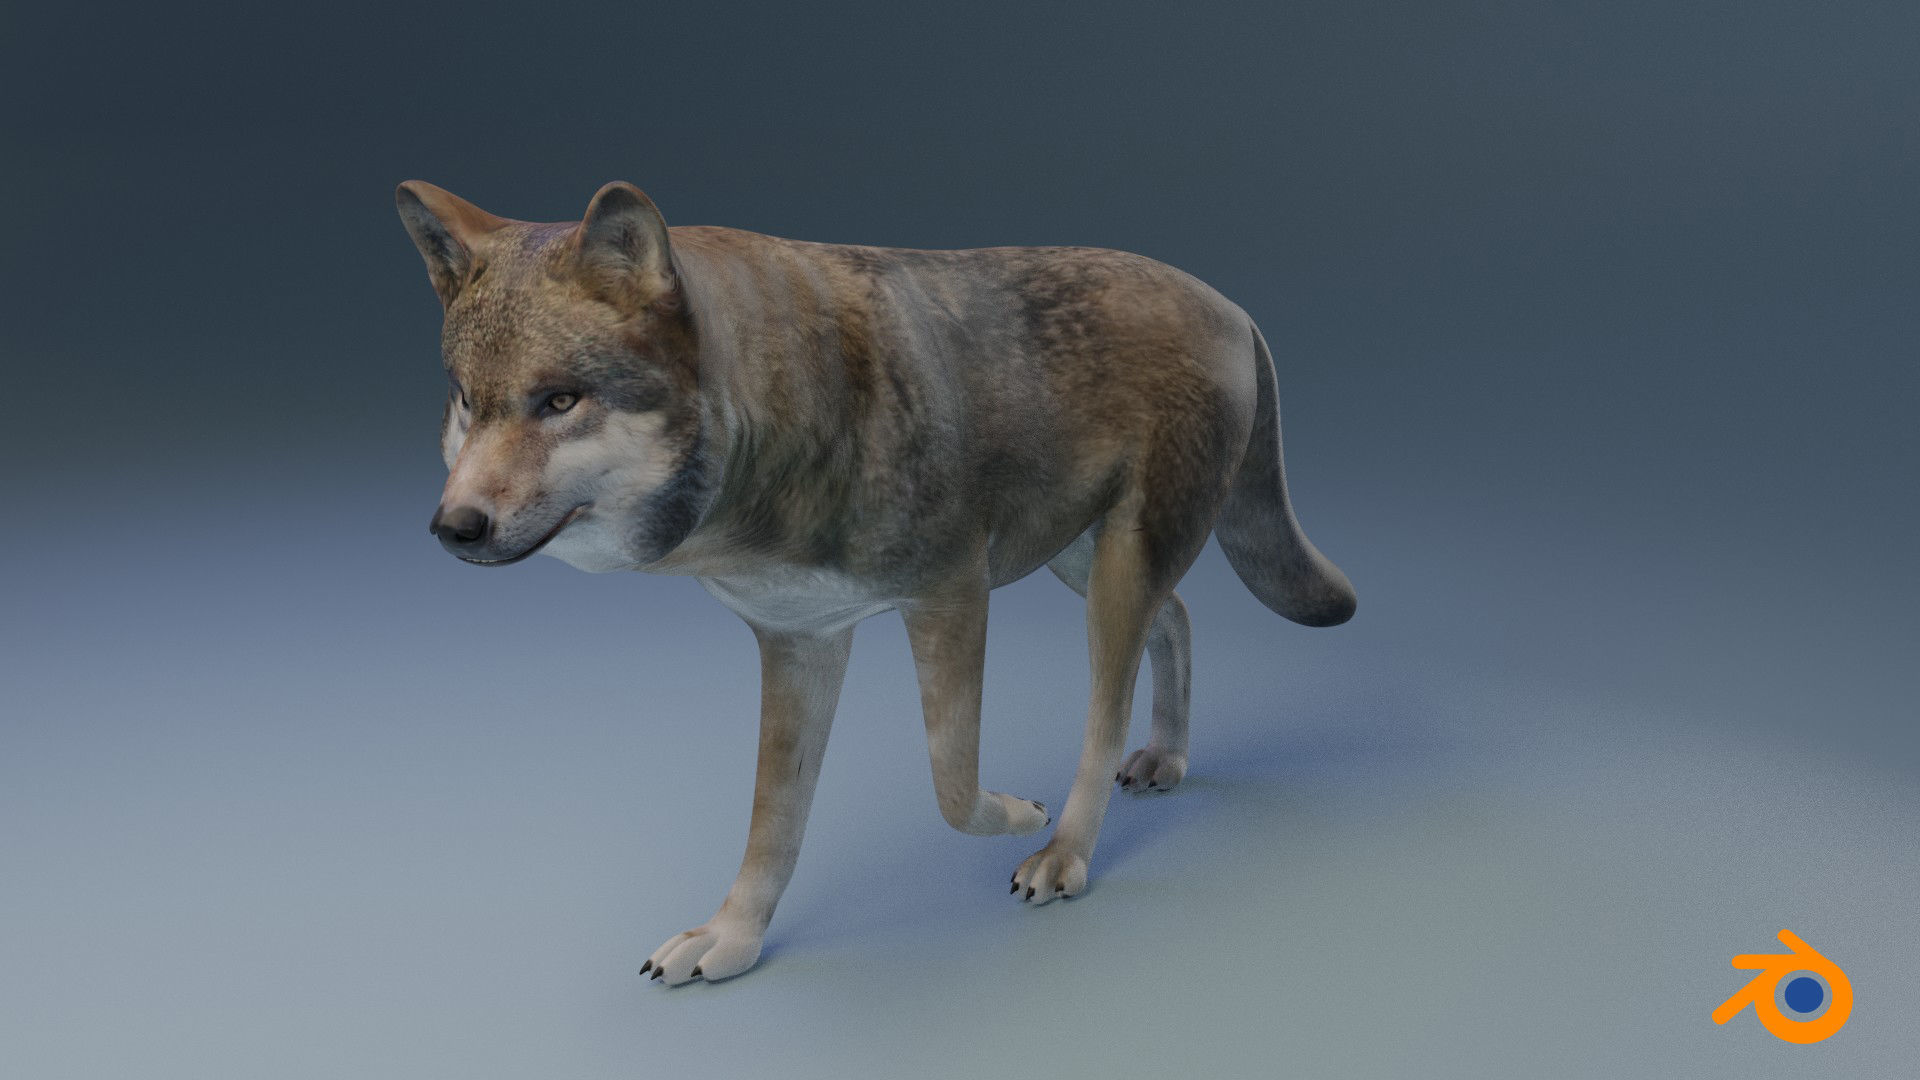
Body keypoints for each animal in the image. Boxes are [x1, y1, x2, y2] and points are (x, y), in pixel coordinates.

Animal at [395, 180, 1356, 985]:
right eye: (467, 401)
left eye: (560, 401)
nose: (453, 527)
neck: (788, 425)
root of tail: (1229, 303)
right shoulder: (800, 640)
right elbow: (773, 824)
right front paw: (733, 939)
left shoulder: (952, 599)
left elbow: (953, 788)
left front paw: (1019, 815)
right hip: (1078, 559)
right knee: (1180, 618)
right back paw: (1168, 761)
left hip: (1111, 568)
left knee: (1106, 710)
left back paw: (1066, 853)